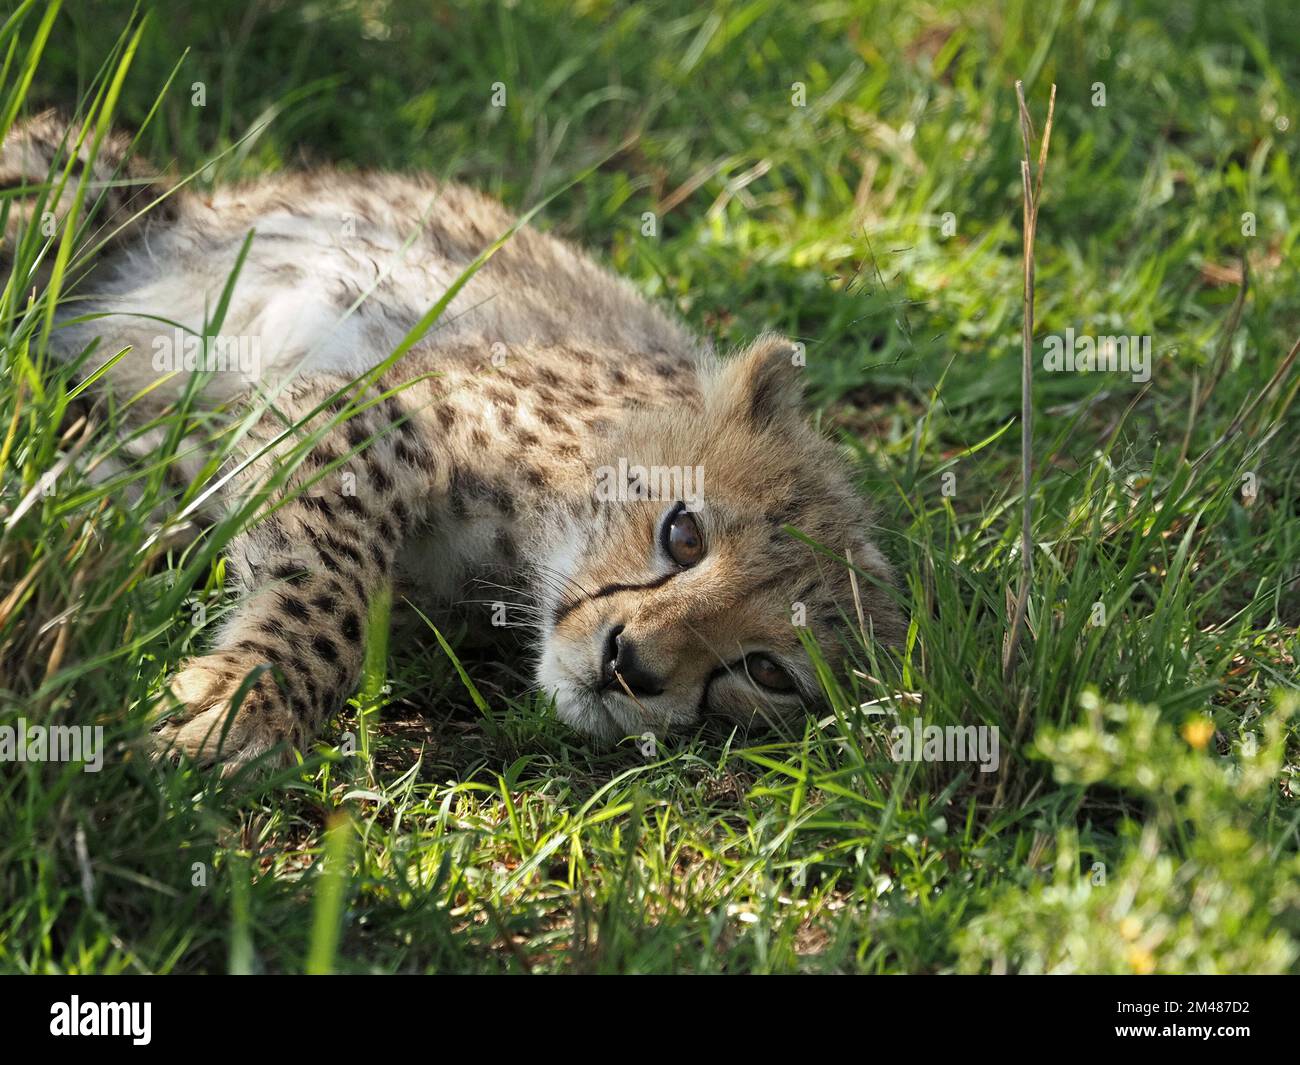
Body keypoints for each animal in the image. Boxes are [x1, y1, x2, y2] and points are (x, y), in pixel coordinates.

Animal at [2, 112, 905, 770]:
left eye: (766, 672)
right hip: (79, 180)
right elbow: (331, 585)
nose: (629, 665)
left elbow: (116, 495)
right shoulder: (368, 402)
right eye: (683, 534)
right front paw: (247, 701)